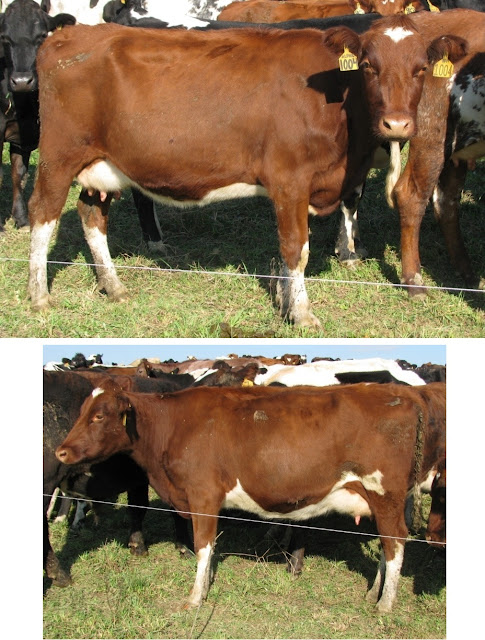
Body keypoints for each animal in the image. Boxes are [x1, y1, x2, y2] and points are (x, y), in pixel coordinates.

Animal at [27, 18, 468, 327]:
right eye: (369, 67)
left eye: (421, 68)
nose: (397, 125)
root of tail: (68, 34)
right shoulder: (289, 179)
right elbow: (296, 249)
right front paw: (301, 314)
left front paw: (289, 303)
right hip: (59, 155)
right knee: (42, 214)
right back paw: (39, 296)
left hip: (104, 164)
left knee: (91, 214)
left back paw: (114, 286)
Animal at [55, 381, 446, 612]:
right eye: (82, 412)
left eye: (99, 416)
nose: (60, 451)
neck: (173, 425)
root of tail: (405, 393)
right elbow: (209, 548)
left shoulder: (203, 495)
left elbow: (203, 547)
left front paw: (196, 598)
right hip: (390, 499)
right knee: (387, 545)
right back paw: (372, 593)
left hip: (385, 493)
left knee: (395, 544)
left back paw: (385, 606)